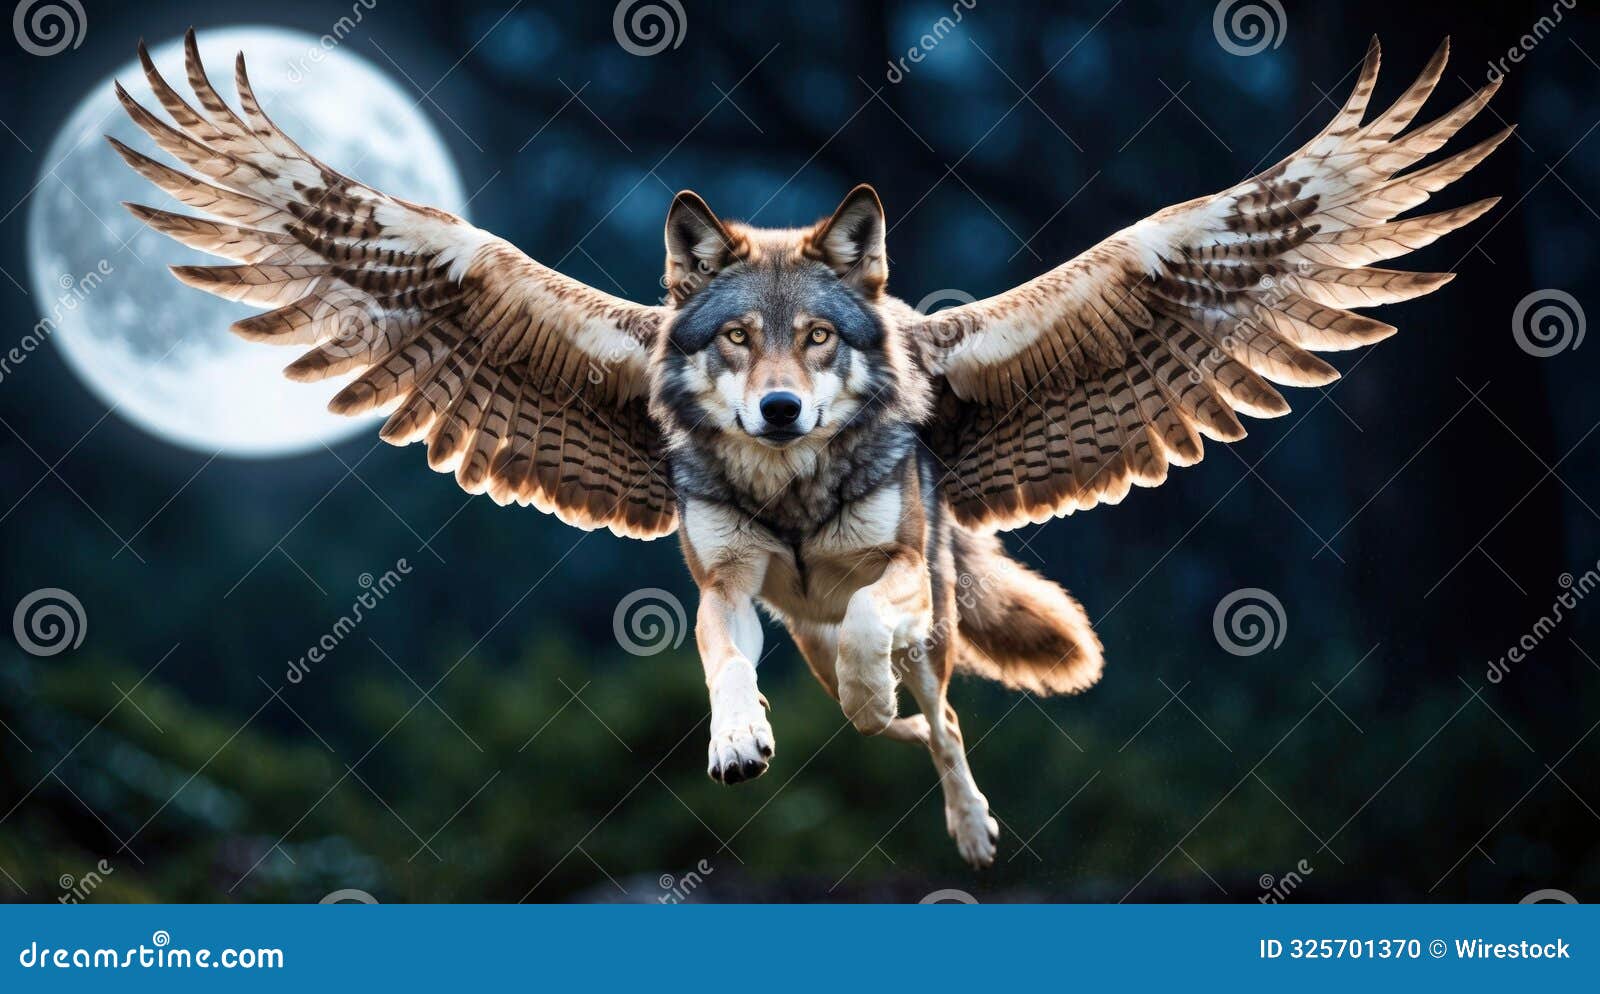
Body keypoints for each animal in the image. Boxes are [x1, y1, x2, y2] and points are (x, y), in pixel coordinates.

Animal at [114, 32, 1500, 865]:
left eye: (819, 342)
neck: (785, 483)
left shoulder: (889, 578)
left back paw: (970, 822)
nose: (778, 410)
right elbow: (724, 674)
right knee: (888, 718)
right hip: (819, 658)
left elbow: (886, 618)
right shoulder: (723, 588)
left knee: (939, 713)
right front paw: (736, 744)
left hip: (931, 626)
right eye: (736, 341)